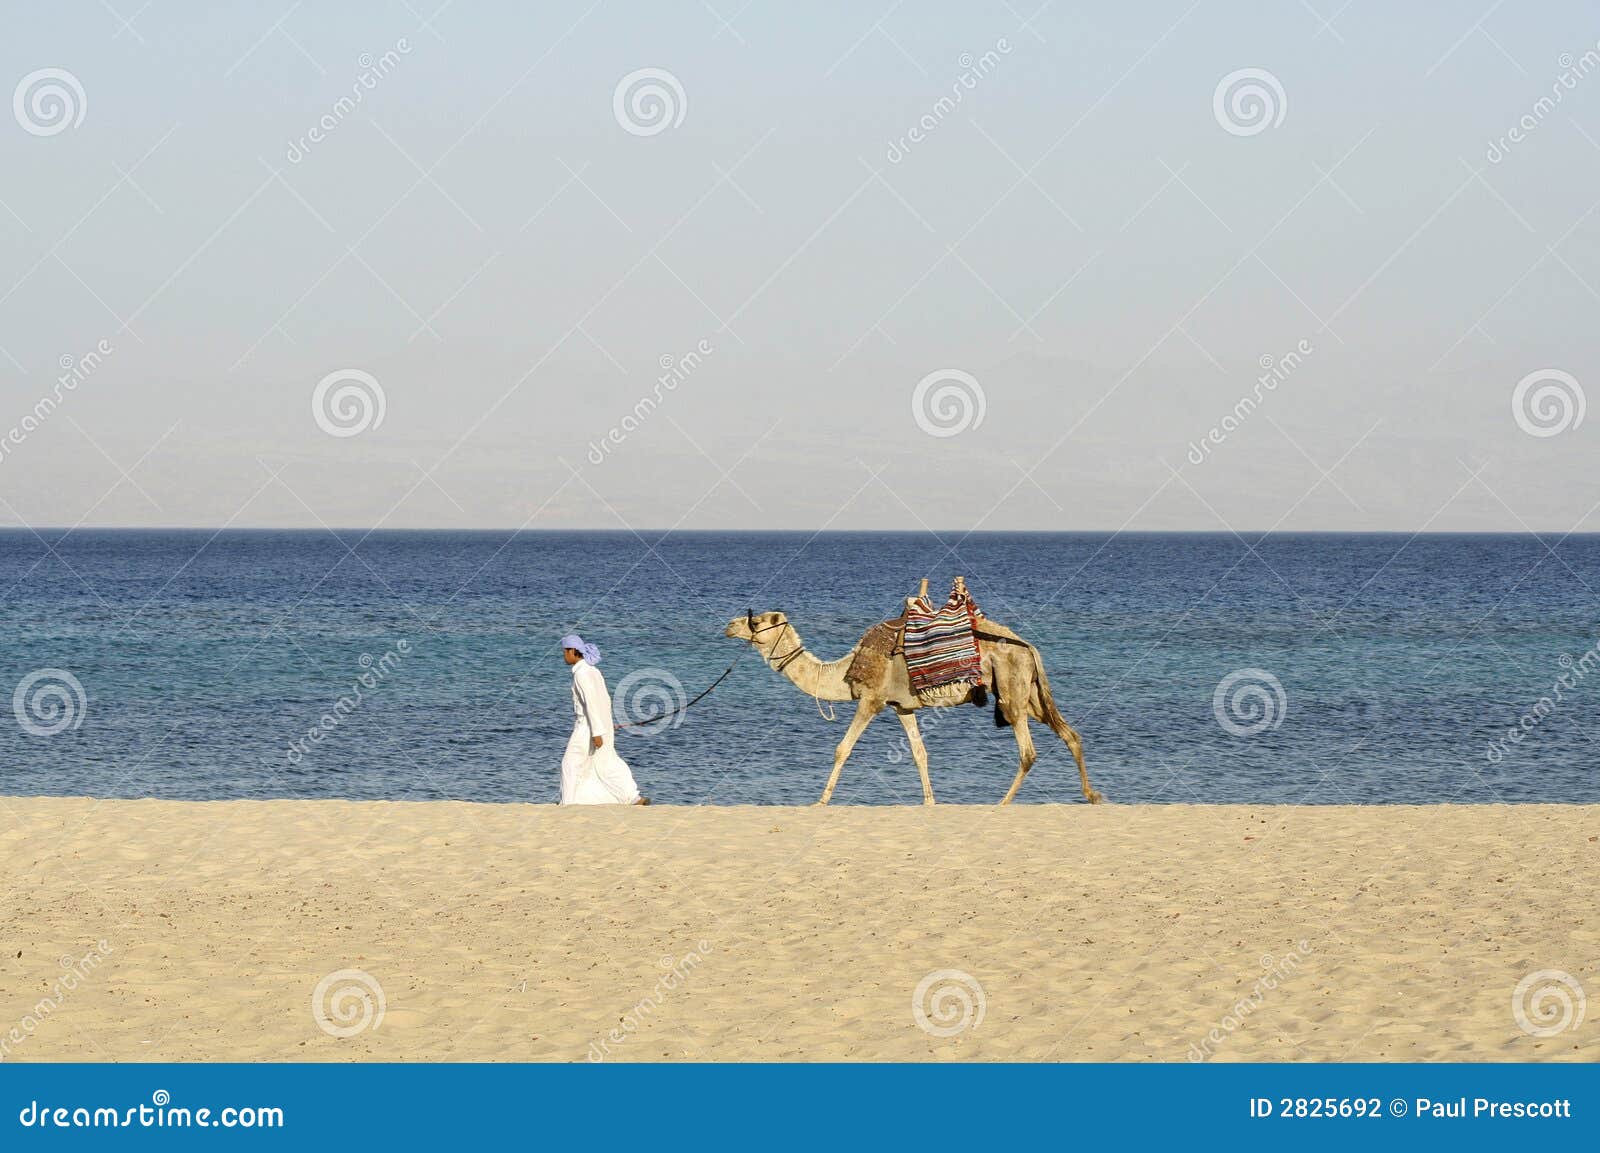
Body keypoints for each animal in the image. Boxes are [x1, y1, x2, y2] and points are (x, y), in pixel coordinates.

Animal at [723, 593, 1102, 806]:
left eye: (756, 621)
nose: (729, 625)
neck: (846, 669)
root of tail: (1029, 647)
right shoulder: (902, 707)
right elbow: (920, 753)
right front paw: (930, 801)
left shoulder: (872, 700)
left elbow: (842, 749)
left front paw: (821, 801)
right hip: (1030, 694)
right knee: (1070, 734)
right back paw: (1092, 796)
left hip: (1011, 688)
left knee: (1028, 751)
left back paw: (1002, 803)